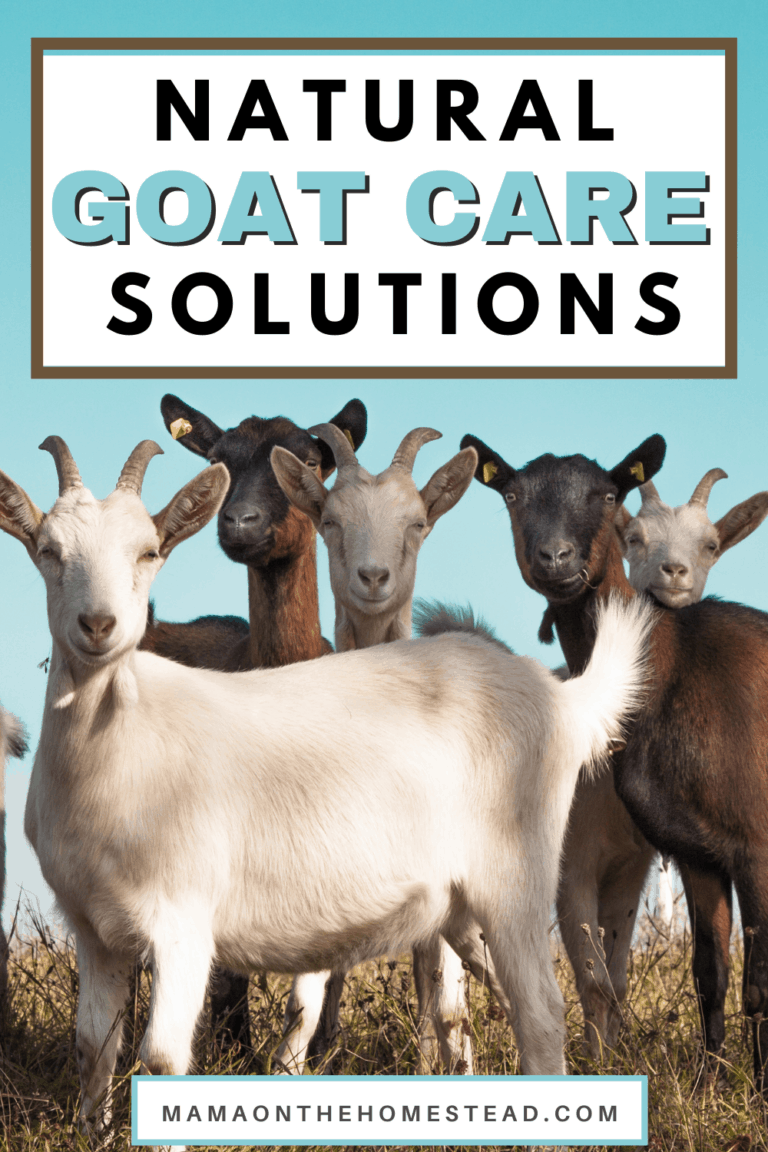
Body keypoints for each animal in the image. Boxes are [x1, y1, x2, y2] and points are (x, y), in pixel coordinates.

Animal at [461, 429, 768, 1093]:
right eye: (513, 494)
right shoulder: (698, 852)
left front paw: (757, 1092)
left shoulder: (757, 845)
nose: (556, 559)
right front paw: (709, 1087)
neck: (674, 670)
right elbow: (711, 976)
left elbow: (759, 983)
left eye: (607, 492)